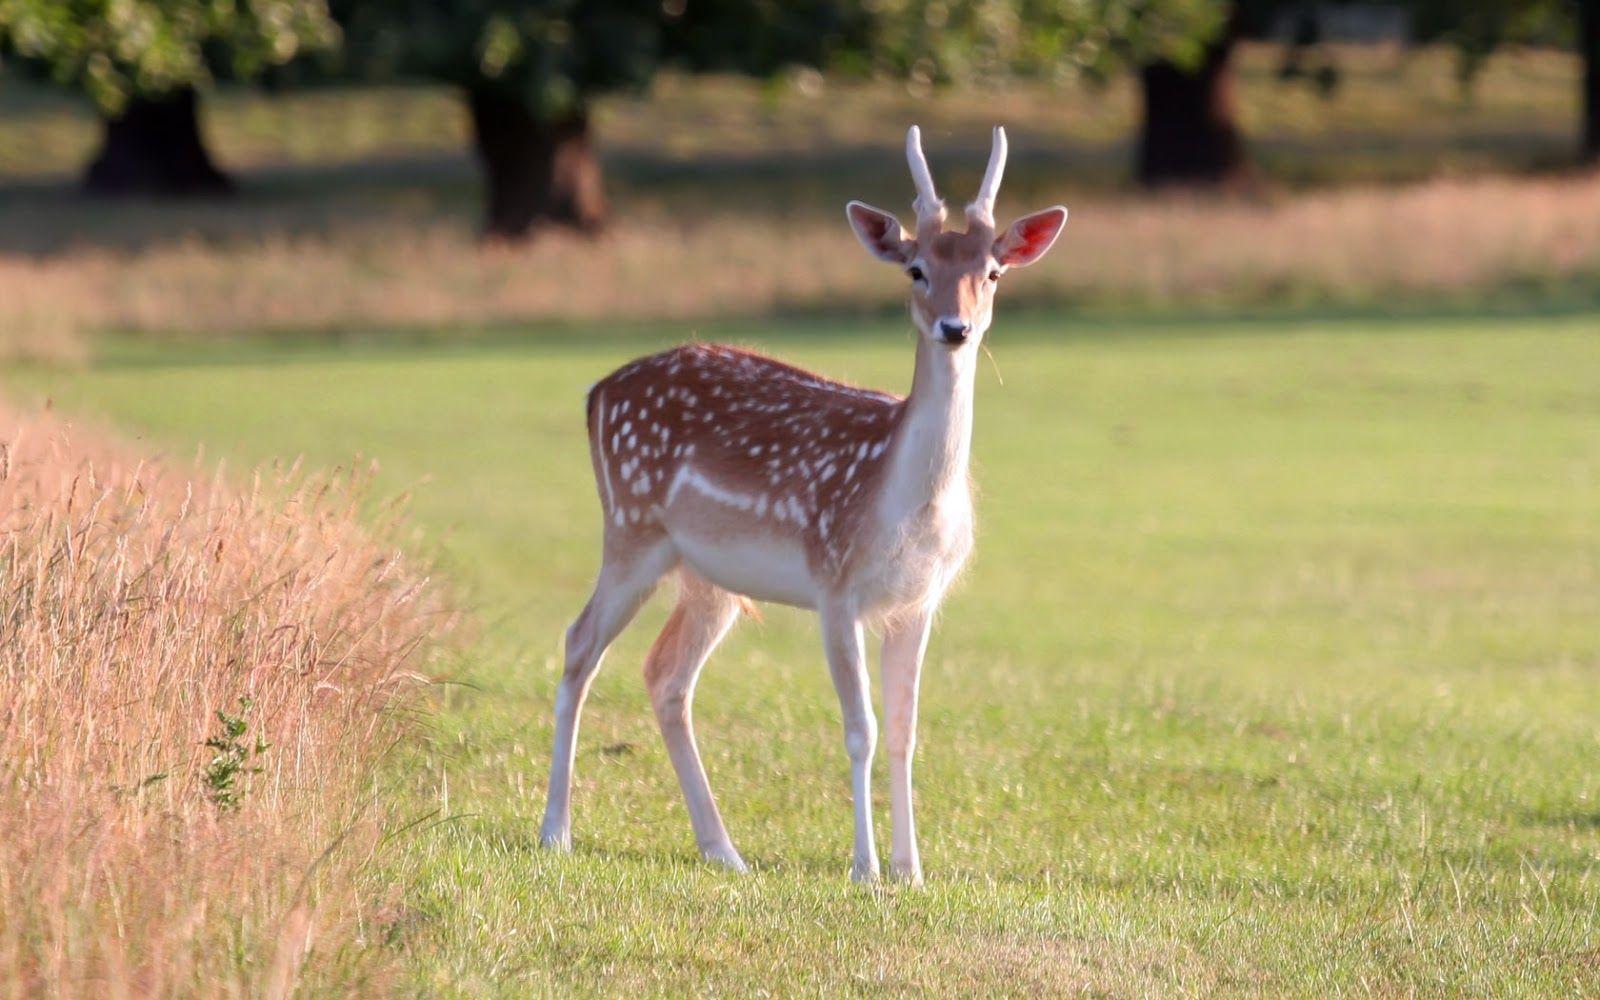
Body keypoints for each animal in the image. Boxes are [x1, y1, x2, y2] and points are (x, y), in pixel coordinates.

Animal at [539, 125, 1068, 883]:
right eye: (915, 269)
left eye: (993, 271)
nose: (955, 328)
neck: (902, 507)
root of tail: (594, 393)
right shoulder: (835, 584)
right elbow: (860, 729)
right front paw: (865, 869)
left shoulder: (919, 601)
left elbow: (905, 730)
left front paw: (911, 870)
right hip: (631, 526)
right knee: (580, 644)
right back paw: (556, 831)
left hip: (709, 577)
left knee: (665, 675)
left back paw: (723, 849)